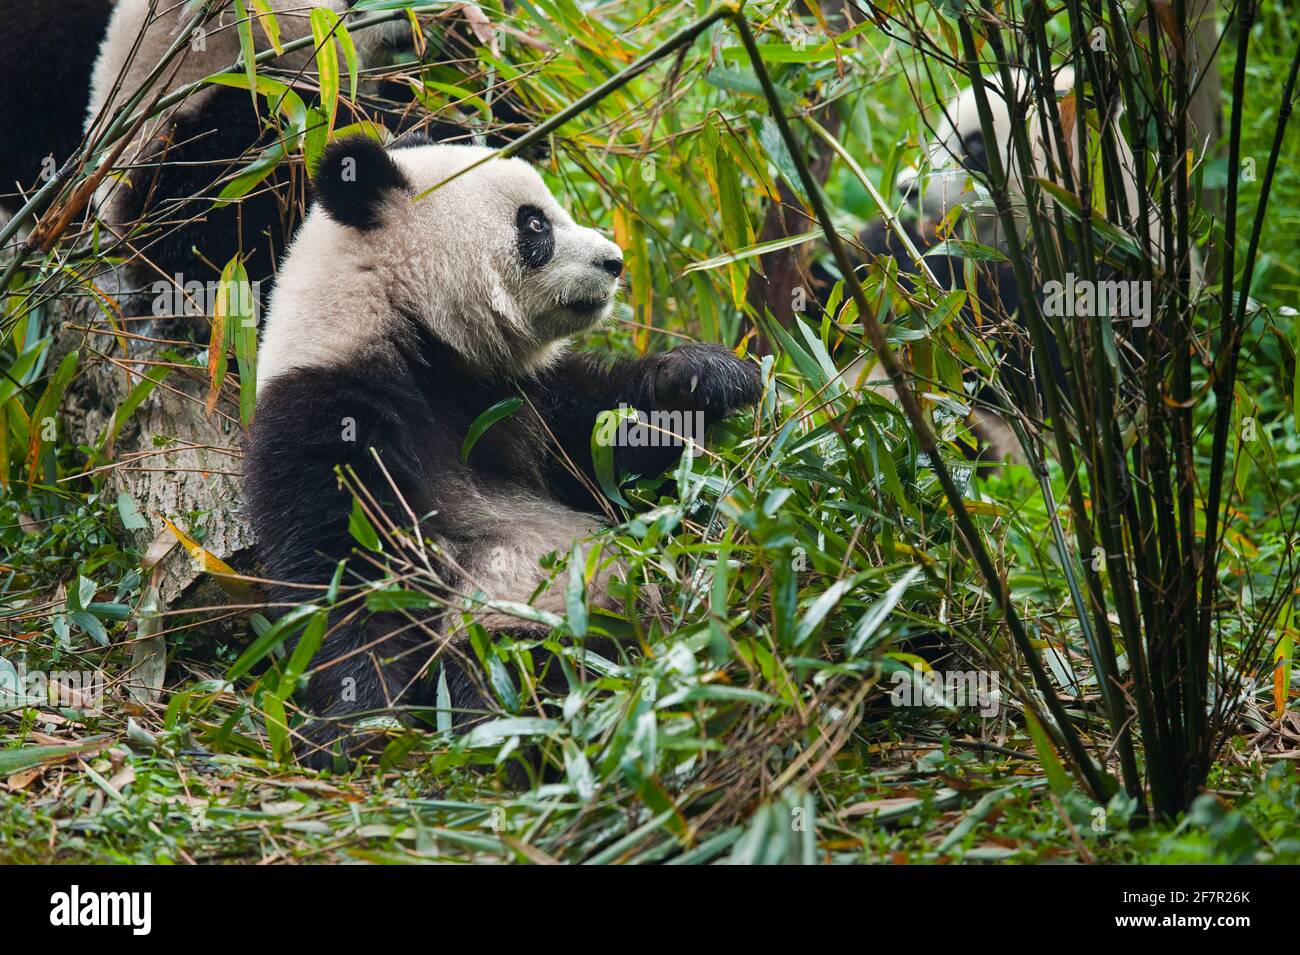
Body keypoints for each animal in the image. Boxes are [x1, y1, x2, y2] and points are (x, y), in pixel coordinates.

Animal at [243, 135, 762, 768]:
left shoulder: (518, 398)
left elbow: (602, 446)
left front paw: (706, 376)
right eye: (534, 224)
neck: (406, 330)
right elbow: (345, 569)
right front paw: (361, 725)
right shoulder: (326, 409)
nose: (614, 262)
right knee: (511, 660)